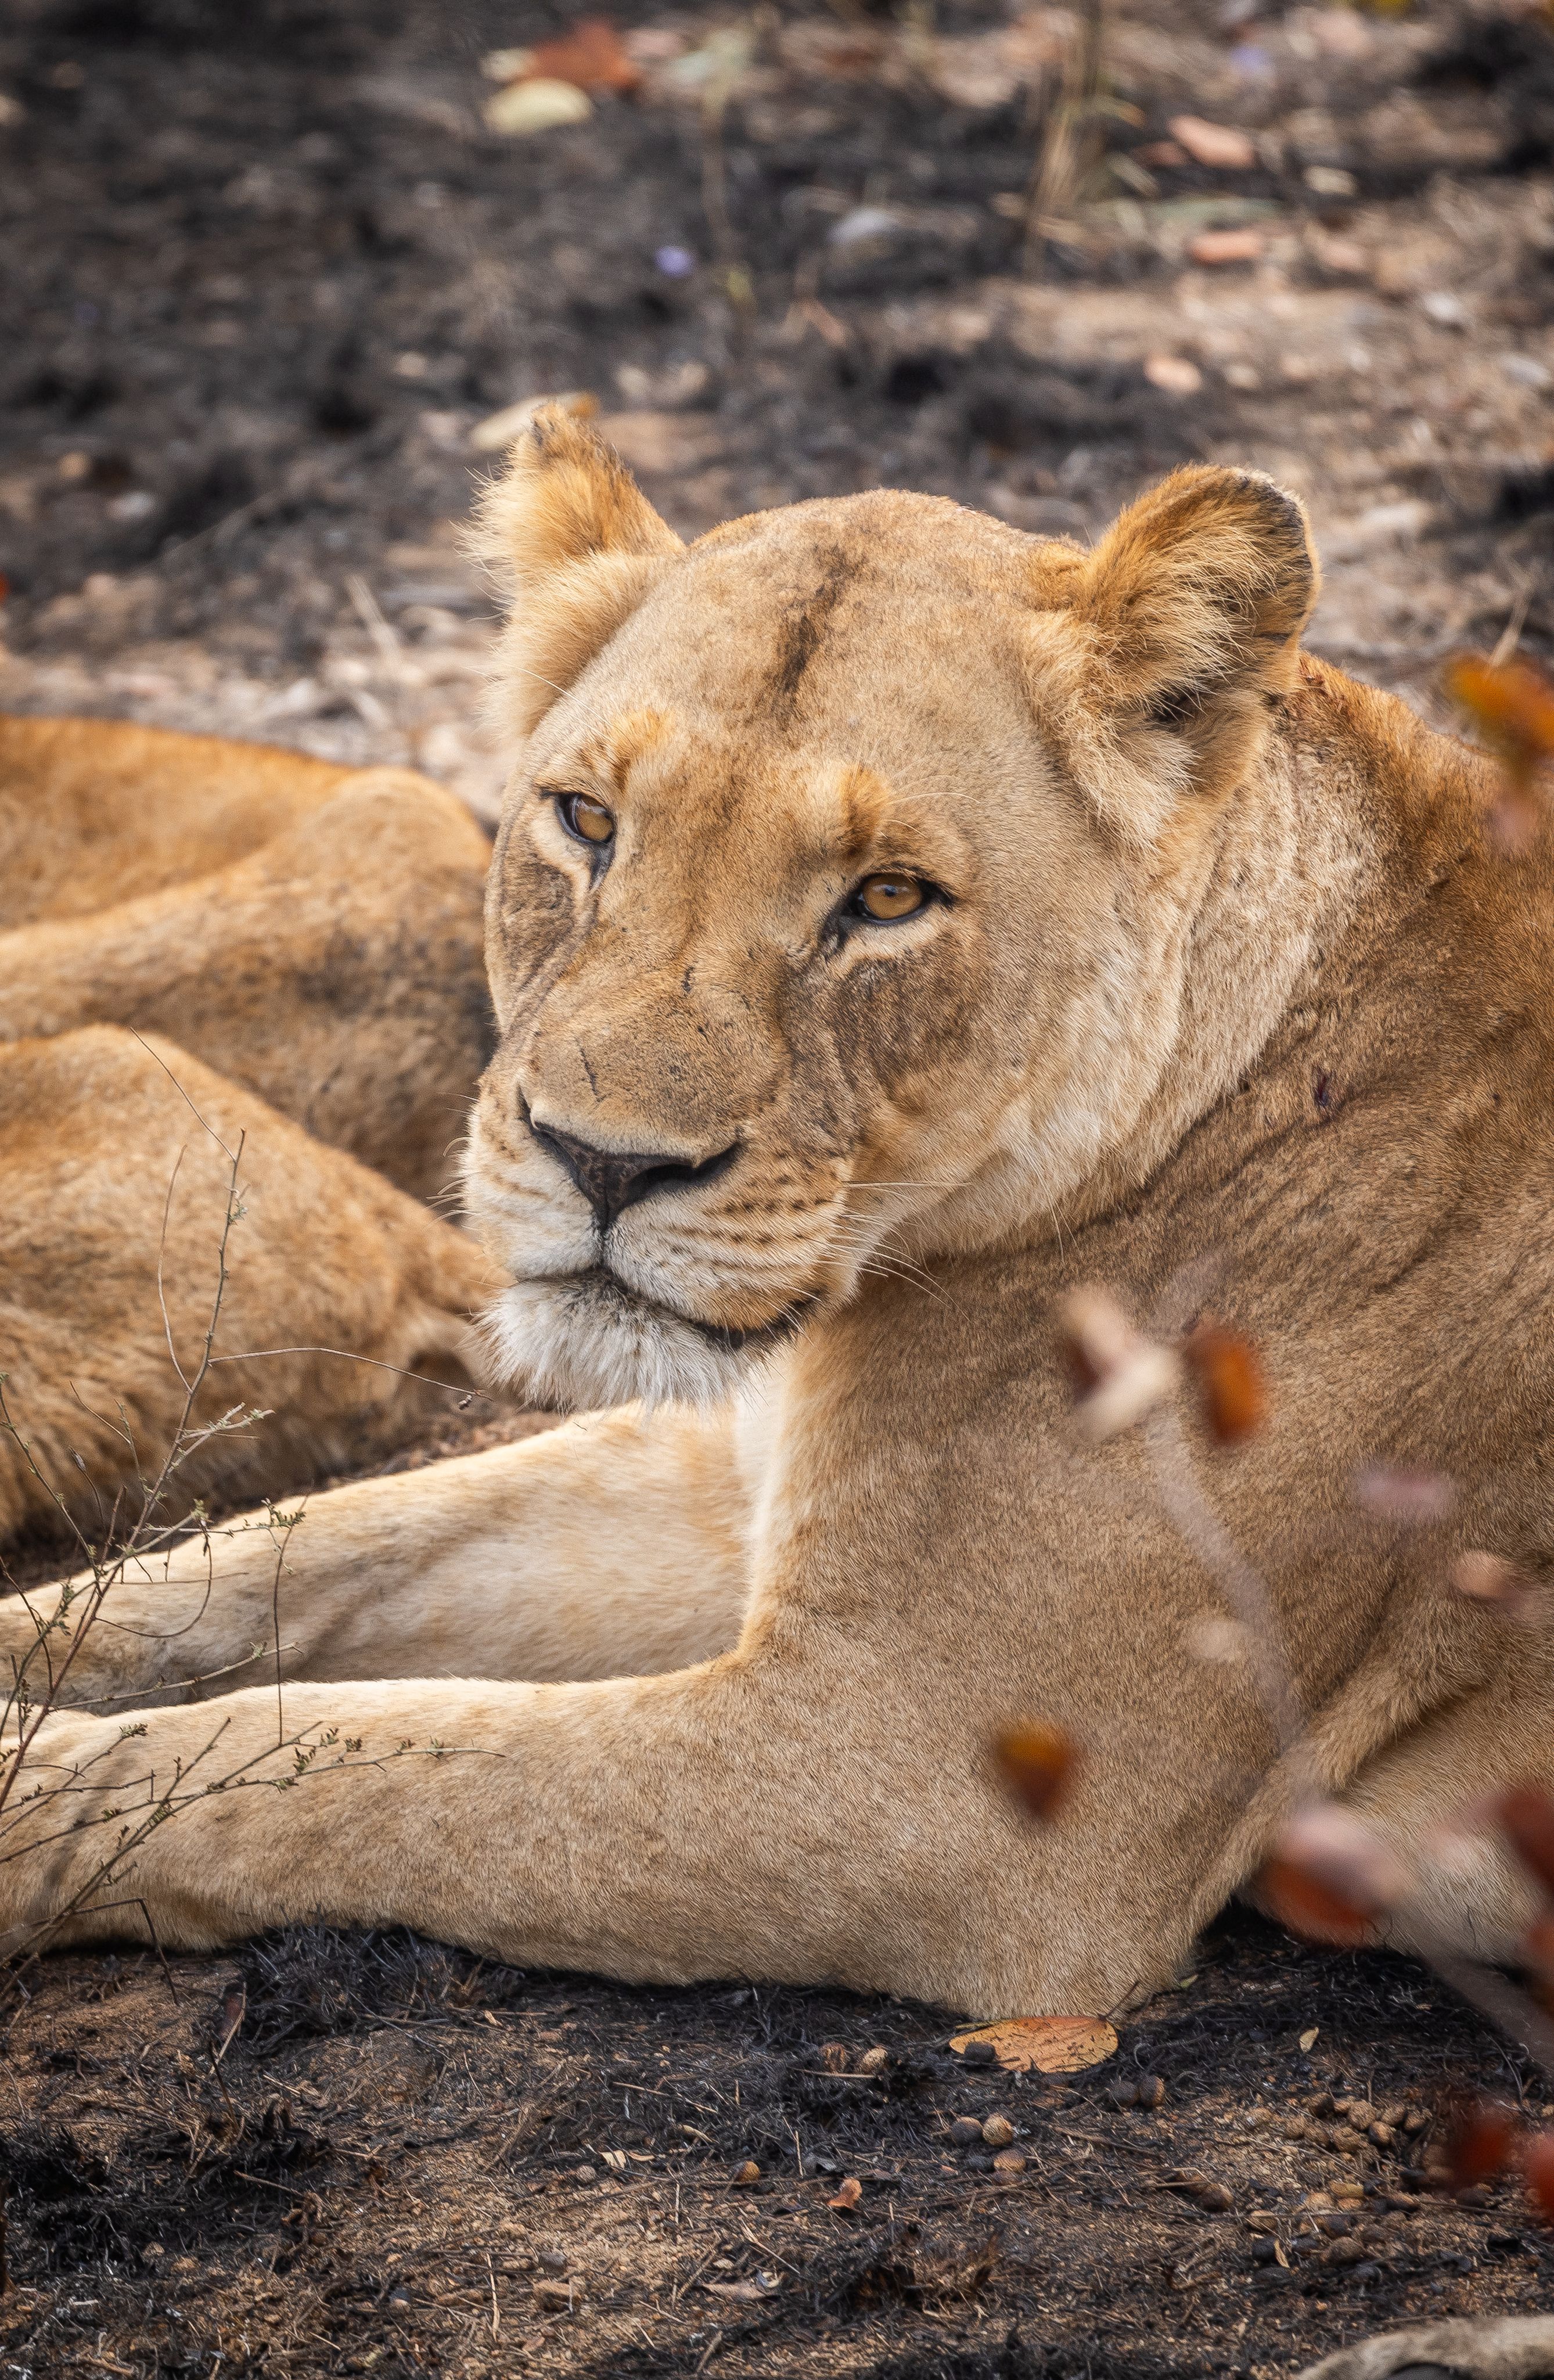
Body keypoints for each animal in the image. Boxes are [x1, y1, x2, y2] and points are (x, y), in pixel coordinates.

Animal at [0, 416, 1549, 2080]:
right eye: (587, 821)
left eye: (888, 898)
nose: (603, 1161)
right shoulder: (730, 1484)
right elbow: (270, 1561)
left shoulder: (923, 1779)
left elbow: (345, 1758)